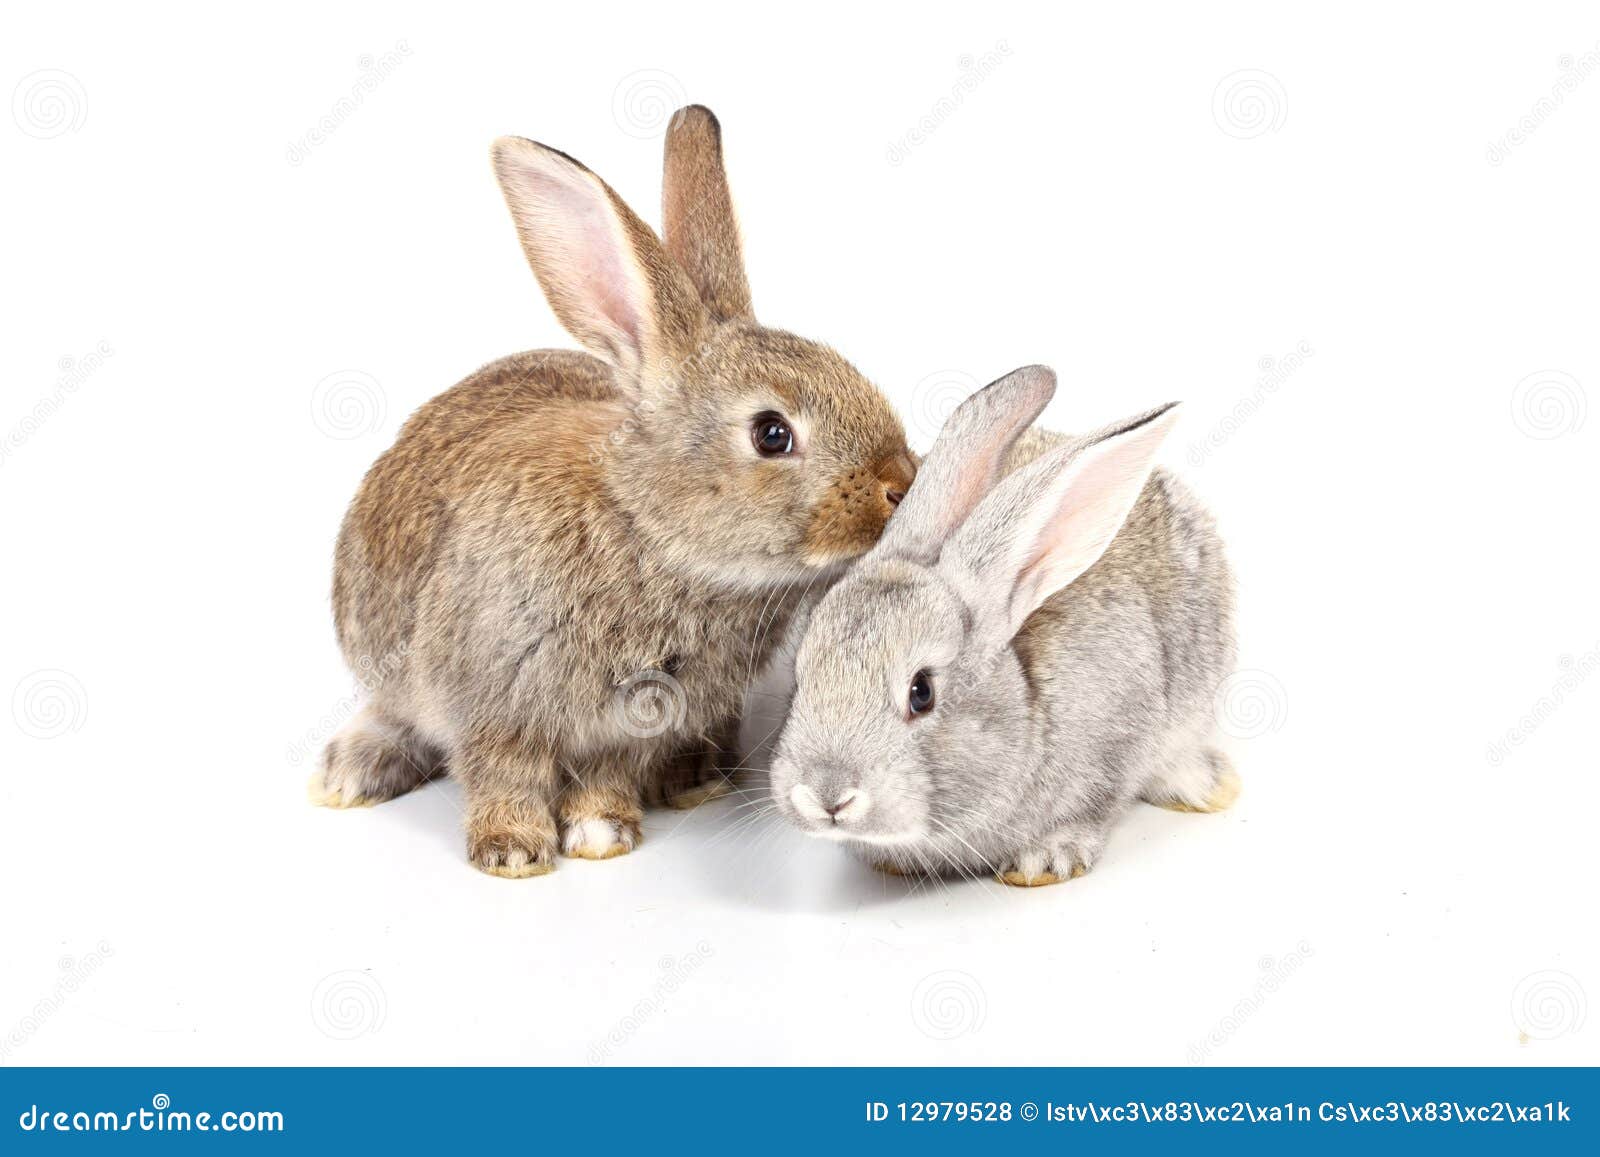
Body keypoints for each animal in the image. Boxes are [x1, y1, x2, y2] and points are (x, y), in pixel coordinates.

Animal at [312, 106, 916, 878]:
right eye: (772, 434)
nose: (901, 482)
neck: (648, 532)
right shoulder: (492, 698)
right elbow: (502, 770)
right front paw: (513, 850)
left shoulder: (632, 726)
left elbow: (606, 774)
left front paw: (602, 832)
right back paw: (351, 772)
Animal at [767, 365, 1238, 886]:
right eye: (799, 681)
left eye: (922, 692)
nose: (826, 797)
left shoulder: (1119, 737)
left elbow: (1097, 805)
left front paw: (1045, 861)